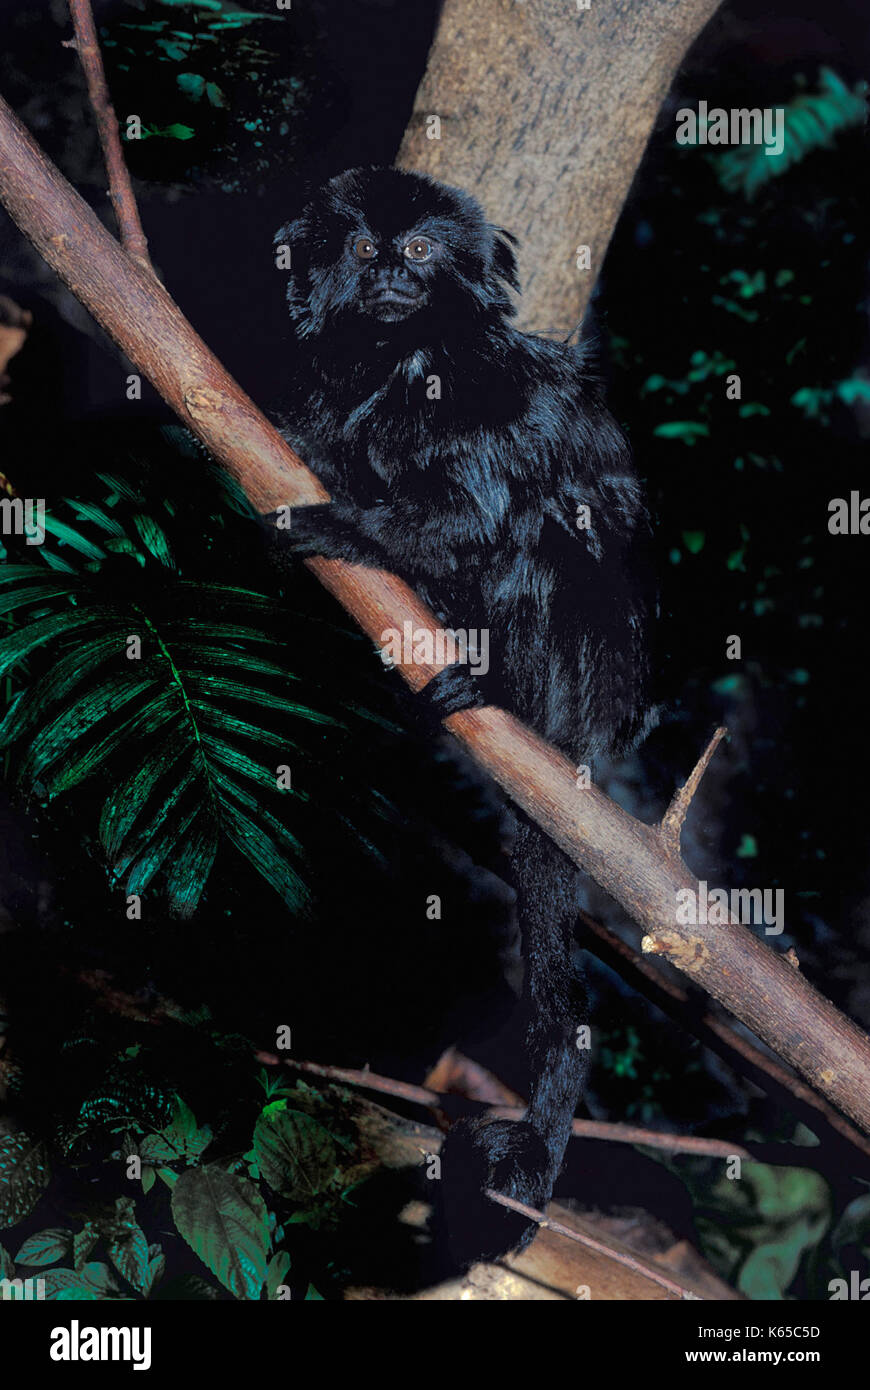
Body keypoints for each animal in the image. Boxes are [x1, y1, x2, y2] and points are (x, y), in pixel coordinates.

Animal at [264, 165, 655, 1265]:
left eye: (423, 254)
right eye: (364, 251)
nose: (393, 276)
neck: (396, 360)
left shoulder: (471, 385)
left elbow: (478, 512)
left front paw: (343, 528)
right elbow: (323, 442)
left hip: (586, 670)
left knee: (545, 534)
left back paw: (496, 689)